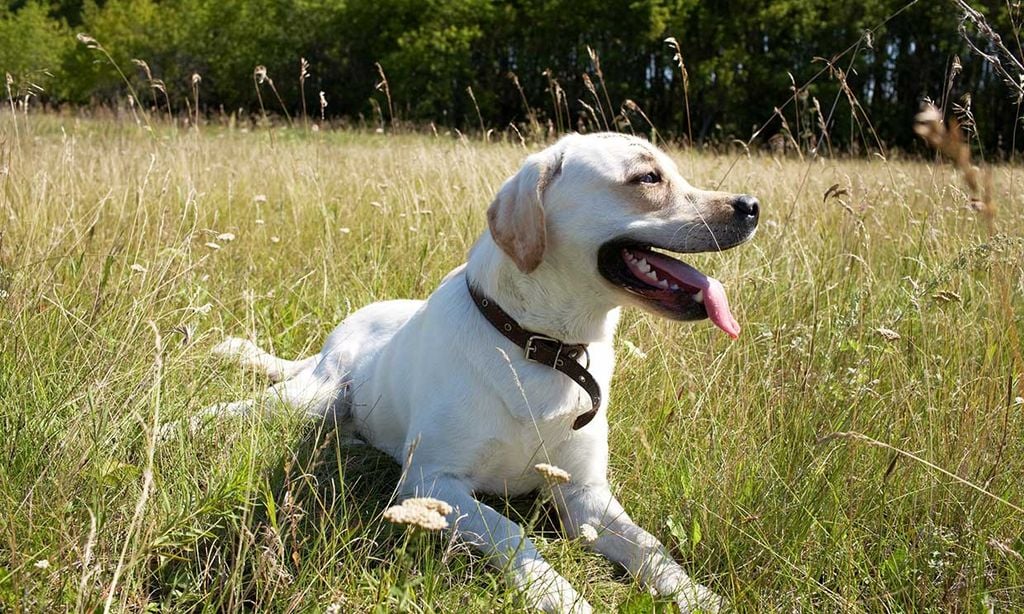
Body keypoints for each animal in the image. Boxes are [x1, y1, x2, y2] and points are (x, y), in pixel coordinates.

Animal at [207, 133, 757, 609]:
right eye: (647, 177)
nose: (751, 206)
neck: (540, 347)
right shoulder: (431, 482)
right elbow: (510, 531)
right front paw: (559, 596)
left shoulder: (585, 494)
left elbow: (650, 548)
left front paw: (700, 597)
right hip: (312, 398)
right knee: (239, 410)